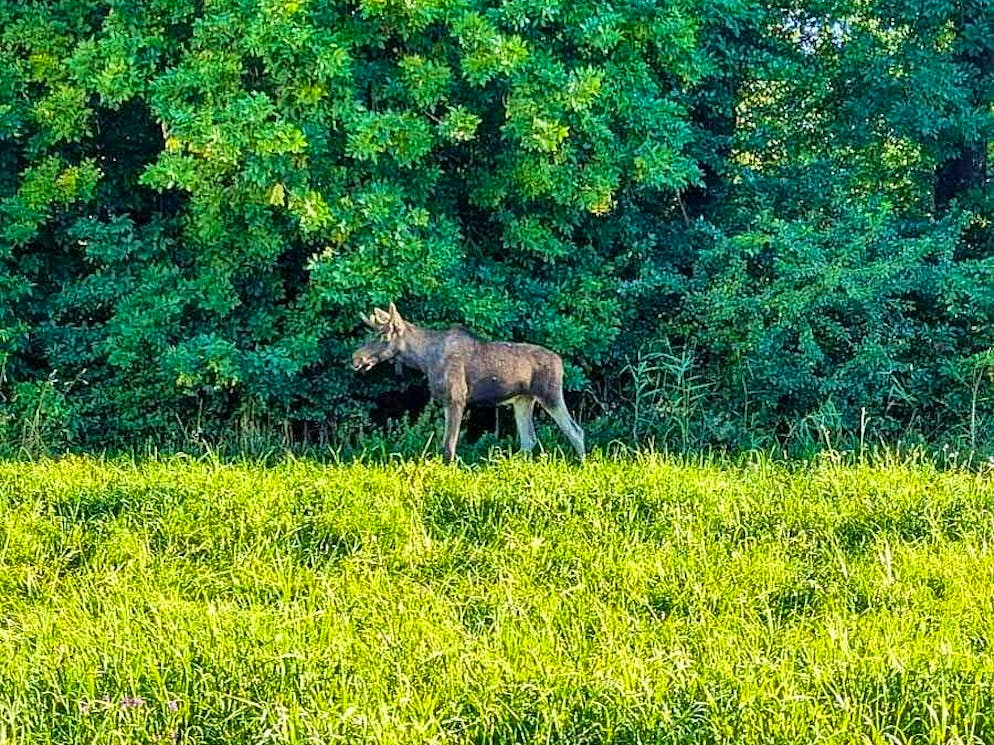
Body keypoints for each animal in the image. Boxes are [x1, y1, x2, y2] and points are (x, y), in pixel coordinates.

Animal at [352, 303, 585, 462]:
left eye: (384, 336)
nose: (356, 358)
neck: (424, 360)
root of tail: (561, 362)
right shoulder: (447, 401)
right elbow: (446, 444)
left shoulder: (457, 398)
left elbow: (449, 446)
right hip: (523, 400)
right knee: (529, 440)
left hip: (550, 394)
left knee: (575, 431)